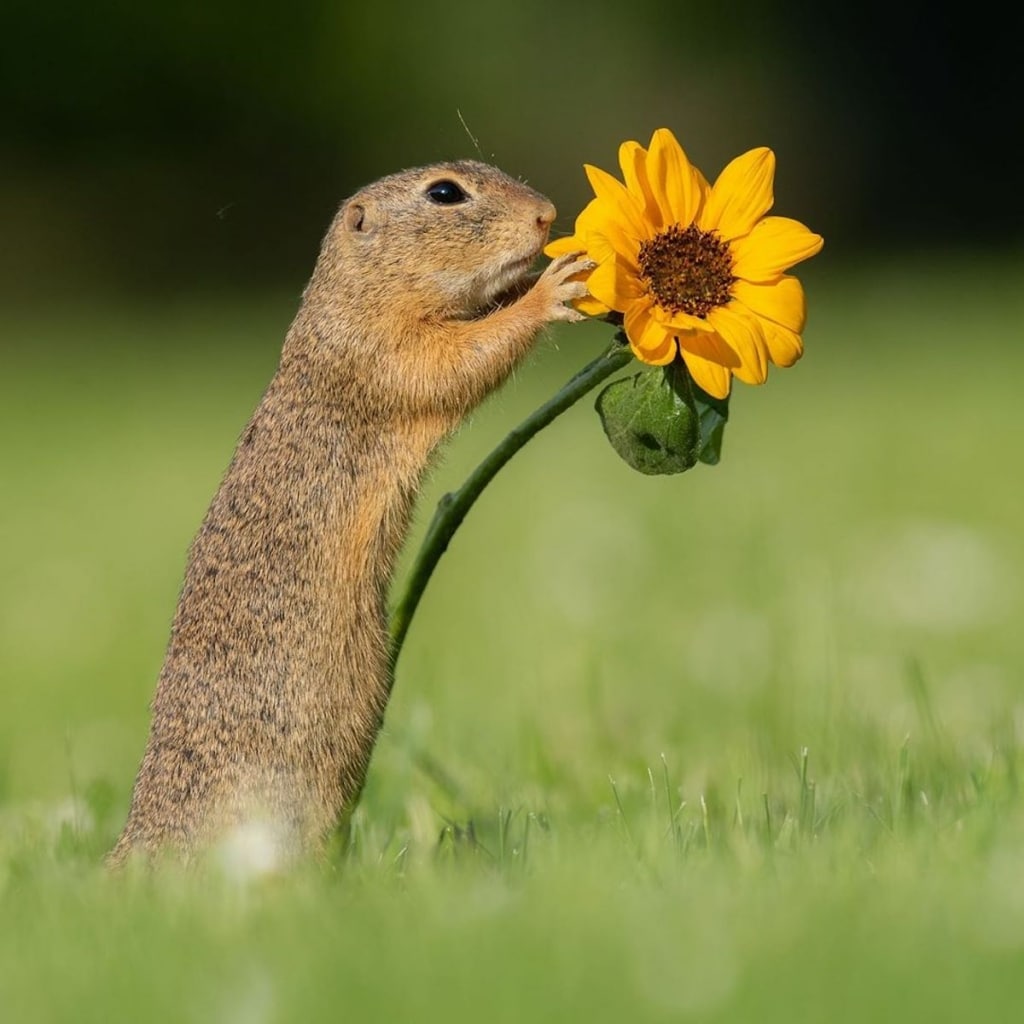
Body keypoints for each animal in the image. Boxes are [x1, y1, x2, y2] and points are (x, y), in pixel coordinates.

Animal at [106, 160, 591, 868]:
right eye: (445, 193)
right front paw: (553, 286)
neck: (351, 297)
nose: (547, 214)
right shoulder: (382, 353)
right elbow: (458, 360)